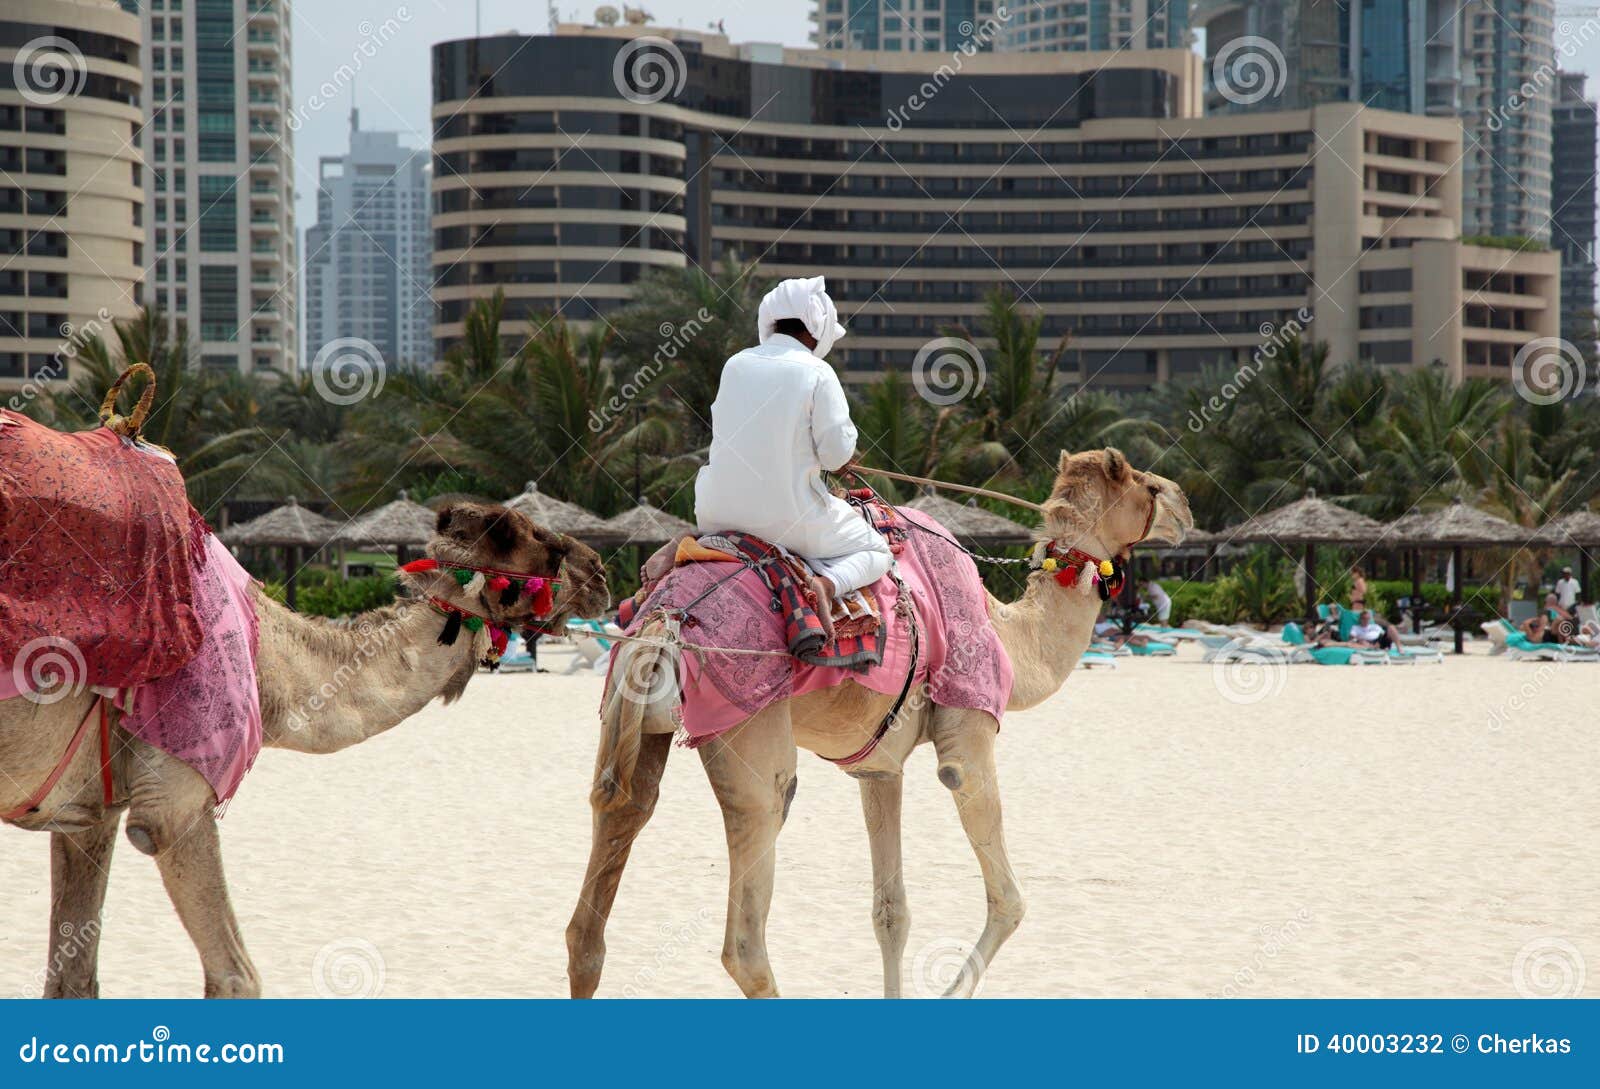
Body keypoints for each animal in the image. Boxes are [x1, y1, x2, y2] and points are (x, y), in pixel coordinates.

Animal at [1, 502, 608, 997]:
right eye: (524, 534)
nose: (601, 570)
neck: (272, 660)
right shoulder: (173, 804)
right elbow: (237, 977)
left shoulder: (87, 813)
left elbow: (71, 980)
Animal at [567, 447, 1191, 998]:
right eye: (1146, 485)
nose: (1185, 506)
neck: (1011, 636)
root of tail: (664, 619)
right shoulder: (968, 734)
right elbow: (1009, 899)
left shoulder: (878, 768)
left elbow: (891, 913)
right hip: (748, 730)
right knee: (746, 930)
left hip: (635, 721)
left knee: (599, 886)